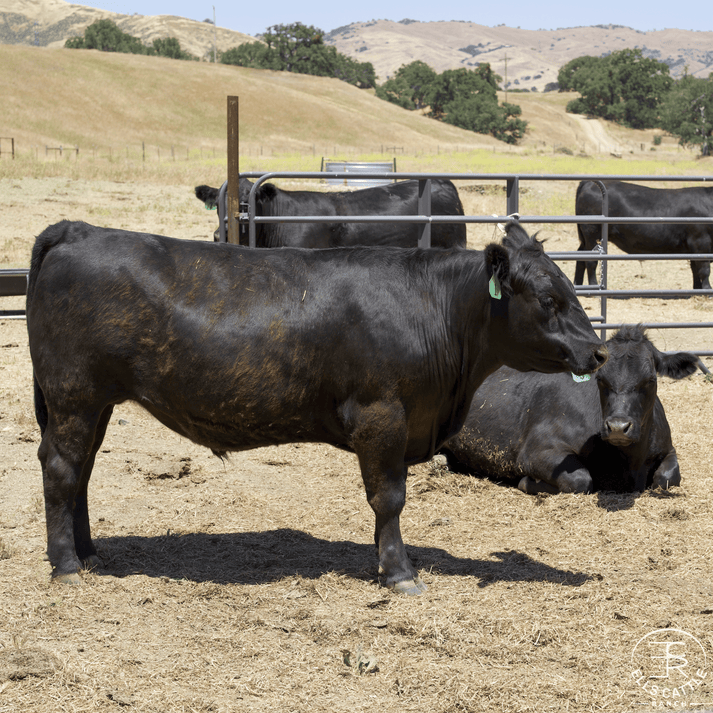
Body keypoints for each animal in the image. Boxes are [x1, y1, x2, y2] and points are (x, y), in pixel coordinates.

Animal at [27, 220, 606, 594]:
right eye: (548, 299)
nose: (598, 351)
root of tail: (80, 230)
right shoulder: (382, 417)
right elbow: (388, 499)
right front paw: (399, 573)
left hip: (96, 403)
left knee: (82, 471)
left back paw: (90, 554)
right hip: (74, 395)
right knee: (61, 469)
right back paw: (66, 565)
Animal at [440, 325, 700, 495]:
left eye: (651, 380)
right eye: (600, 380)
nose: (617, 427)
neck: (630, 464)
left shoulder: (667, 448)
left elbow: (667, 478)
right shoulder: (537, 450)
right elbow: (580, 480)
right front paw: (526, 483)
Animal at [575, 180, 713, 290]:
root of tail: (589, 183)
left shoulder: (694, 247)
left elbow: (695, 268)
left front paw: (697, 289)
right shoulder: (700, 241)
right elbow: (704, 268)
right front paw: (707, 290)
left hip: (586, 237)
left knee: (580, 256)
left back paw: (578, 285)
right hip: (591, 233)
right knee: (590, 260)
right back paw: (593, 287)